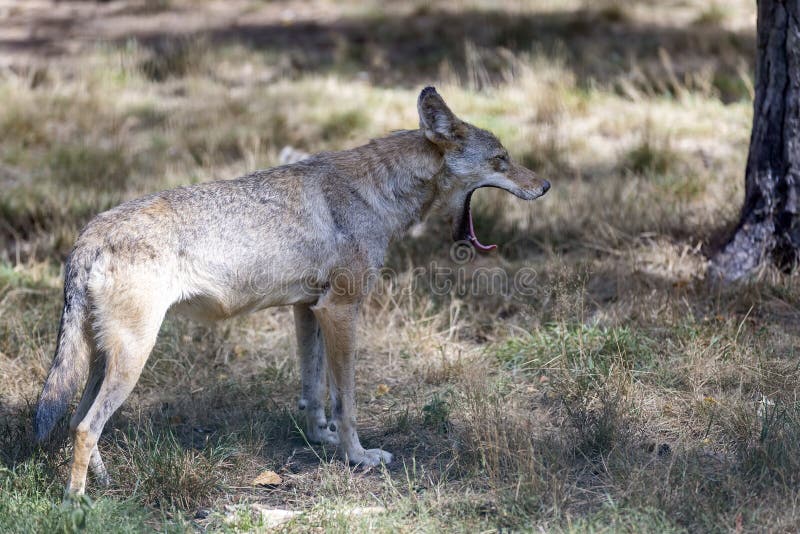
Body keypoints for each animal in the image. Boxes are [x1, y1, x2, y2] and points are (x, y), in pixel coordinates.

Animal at [34, 87, 550, 495]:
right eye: (502, 160)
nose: (544, 185)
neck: (376, 192)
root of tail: (89, 234)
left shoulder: (309, 309)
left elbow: (314, 389)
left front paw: (321, 440)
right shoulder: (341, 310)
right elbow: (346, 400)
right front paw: (357, 457)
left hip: (102, 359)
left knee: (77, 421)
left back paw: (103, 482)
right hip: (132, 358)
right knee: (86, 427)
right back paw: (78, 502)